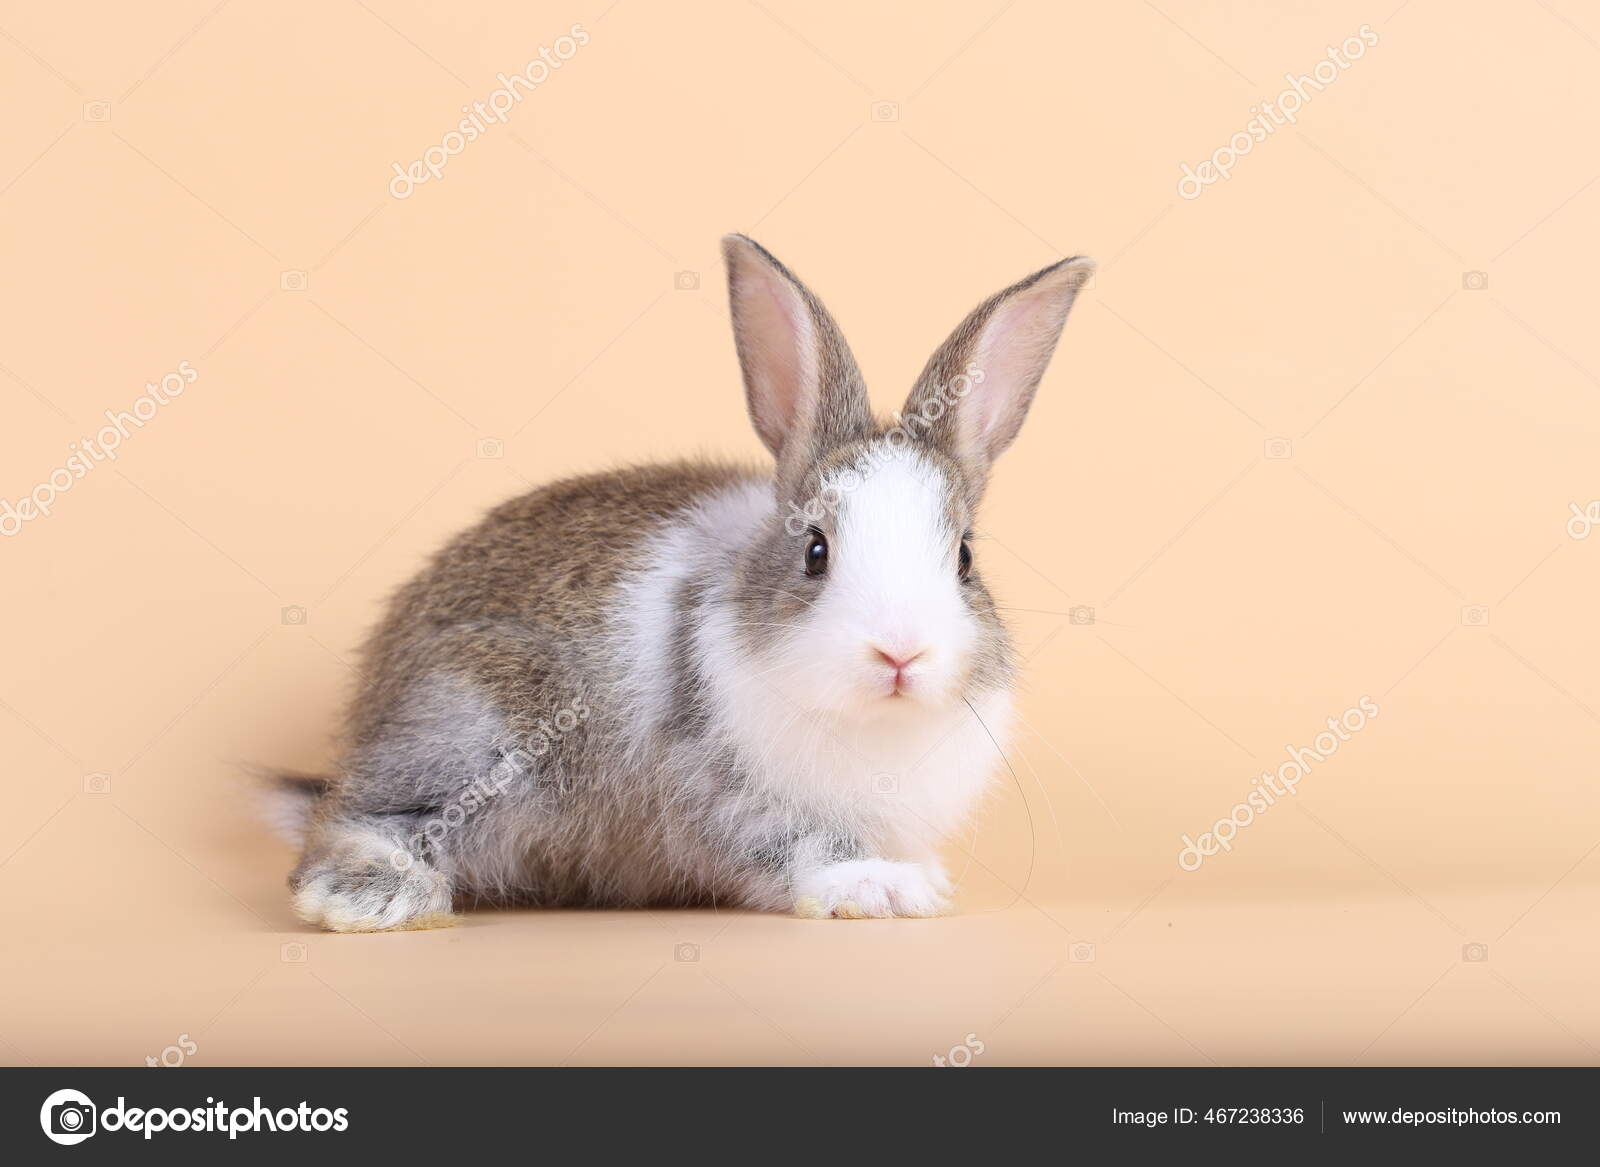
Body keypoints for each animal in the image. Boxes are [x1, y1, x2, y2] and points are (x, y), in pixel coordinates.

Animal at [272, 235, 1093, 931]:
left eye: (964, 558)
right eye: (815, 551)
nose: (900, 654)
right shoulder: (719, 793)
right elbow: (794, 845)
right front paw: (881, 887)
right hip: (480, 726)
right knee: (359, 820)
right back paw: (372, 894)